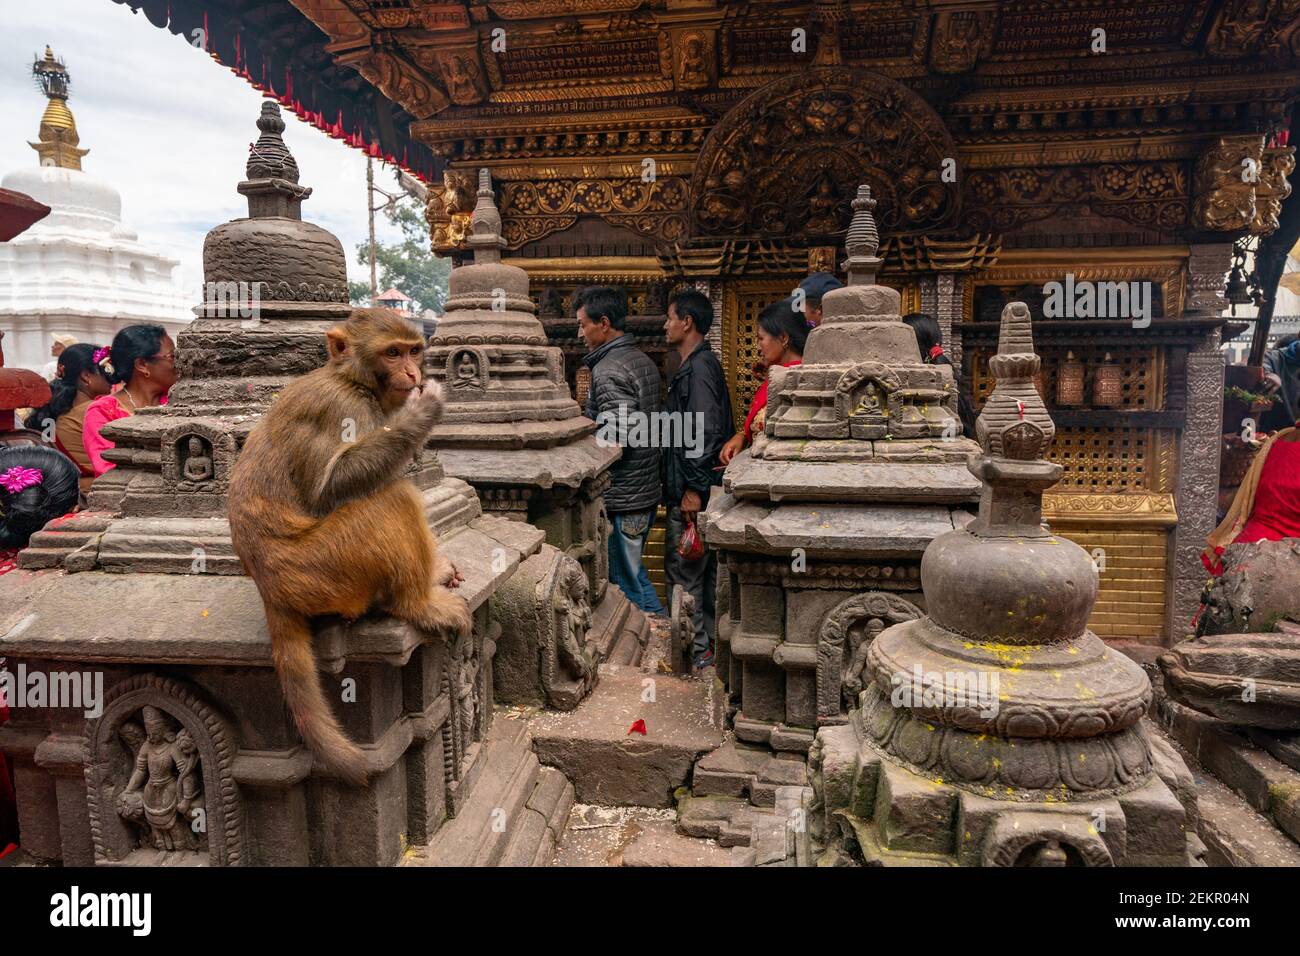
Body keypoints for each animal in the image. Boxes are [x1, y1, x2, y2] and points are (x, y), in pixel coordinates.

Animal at [228, 308, 471, 786]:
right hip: (326, 566)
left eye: (413, 350)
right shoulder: (339, 408)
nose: (413, 373)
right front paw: (422, 411)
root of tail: (268, 588)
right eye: (392, 353)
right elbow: (330, 489)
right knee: (392, 496)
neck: (356, 381)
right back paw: (417, 603)